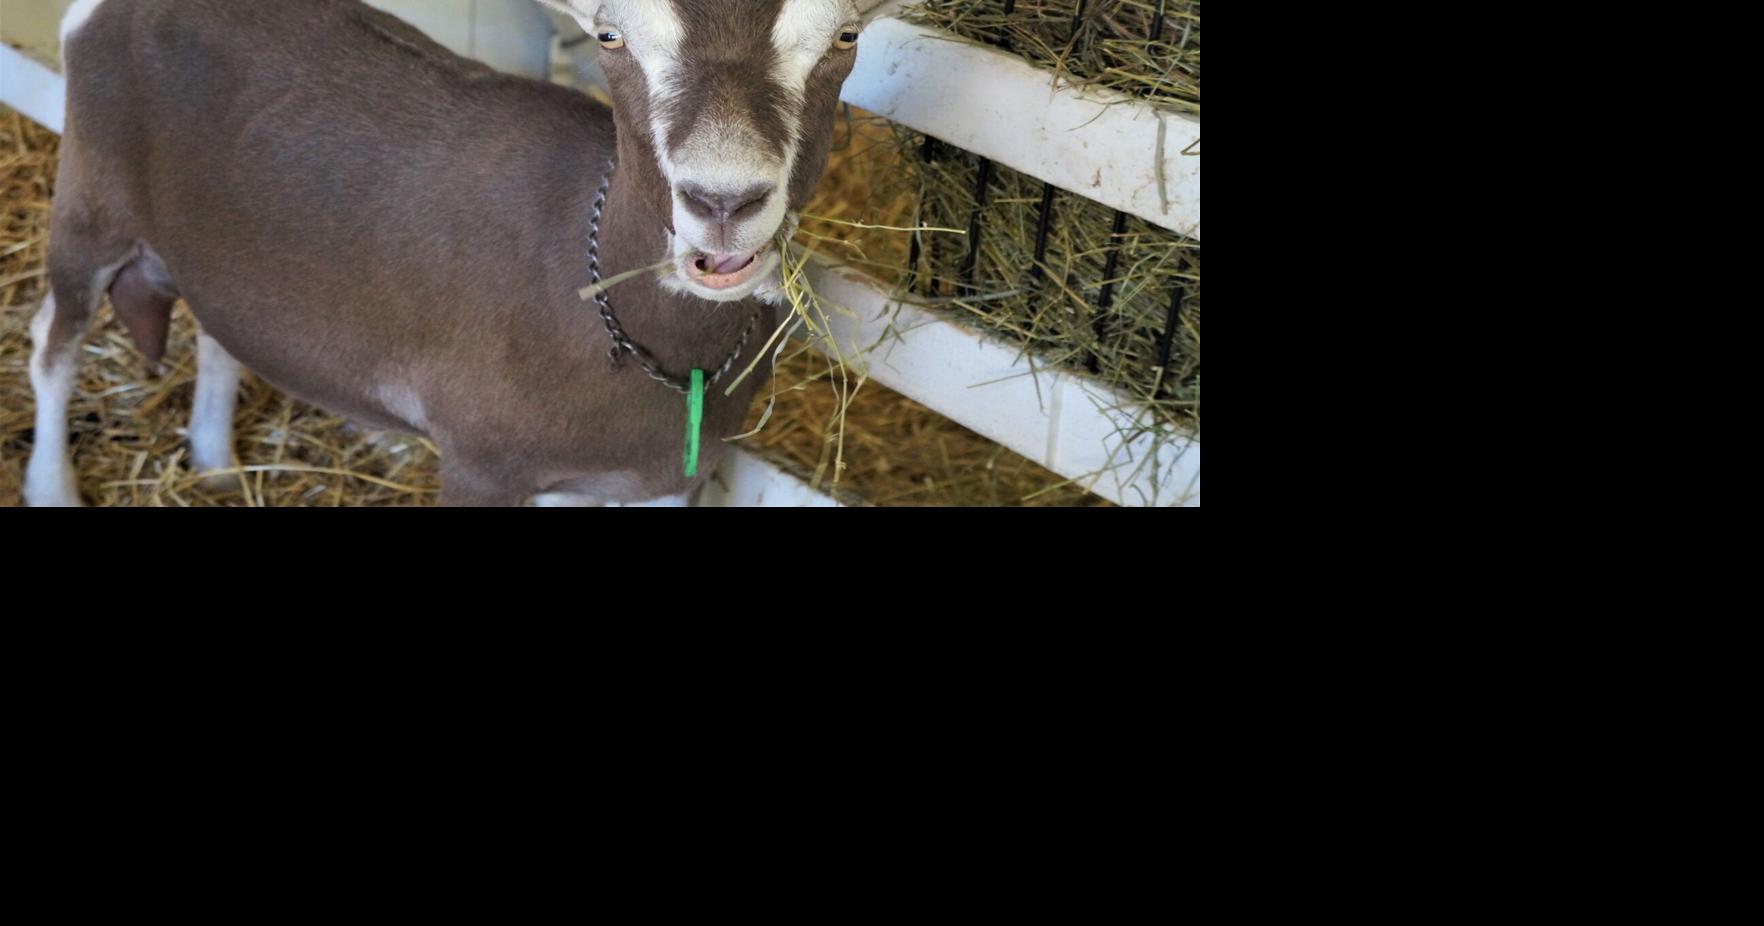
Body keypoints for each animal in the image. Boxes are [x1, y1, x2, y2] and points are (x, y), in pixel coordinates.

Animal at [26, 0, 866, 506]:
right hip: (91, 197)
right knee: (52, 341)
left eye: (846, 37)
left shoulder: (670, 476)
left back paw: (213, 459)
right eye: (610, 35)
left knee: (216, 327)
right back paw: (52, 487)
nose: (723, 202)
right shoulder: (481, 463)